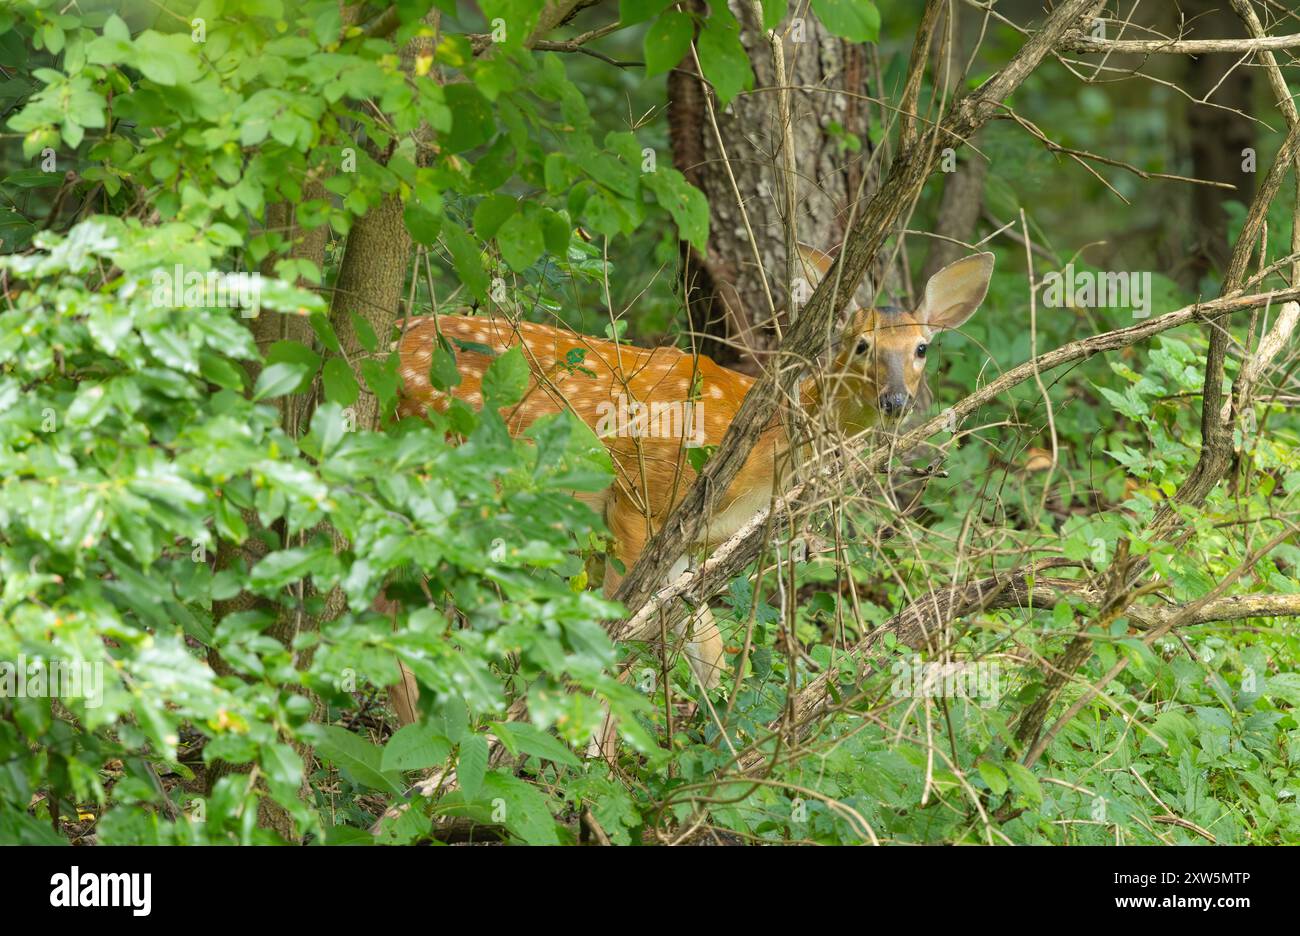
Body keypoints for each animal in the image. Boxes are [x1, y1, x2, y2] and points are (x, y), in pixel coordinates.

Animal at [391, 245, 994, 725]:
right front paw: (602, 762)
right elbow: (617, 645)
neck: (768, 452)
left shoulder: (697, 542)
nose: (895, 401)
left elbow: (709, 651)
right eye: (862, 345)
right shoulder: (641, 501)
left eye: (921, 348)